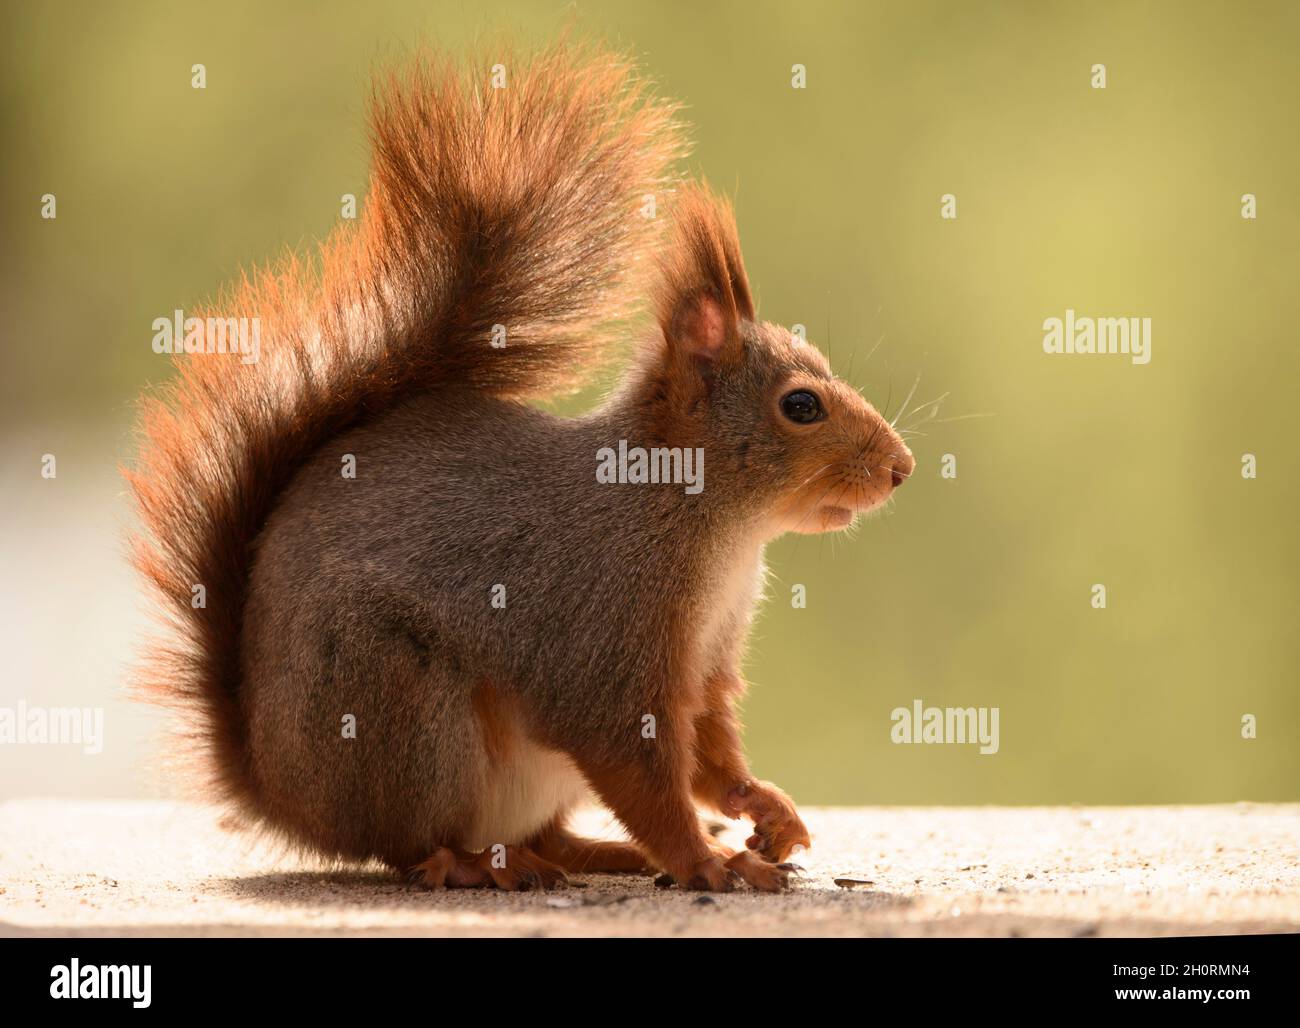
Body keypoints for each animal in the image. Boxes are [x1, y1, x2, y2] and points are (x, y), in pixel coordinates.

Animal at [127, 40, 914, 893]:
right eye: (801, 405)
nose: (901, 467)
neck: (711, 528)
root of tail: (282, 797)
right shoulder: (603, 636)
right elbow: (639, 767)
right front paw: (703, 861)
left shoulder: (704, 668)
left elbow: (711, 753)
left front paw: (764, 808)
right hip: (402, 713)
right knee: (407, 845)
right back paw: (473, 864)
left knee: (543, 836)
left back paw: (593, 853)